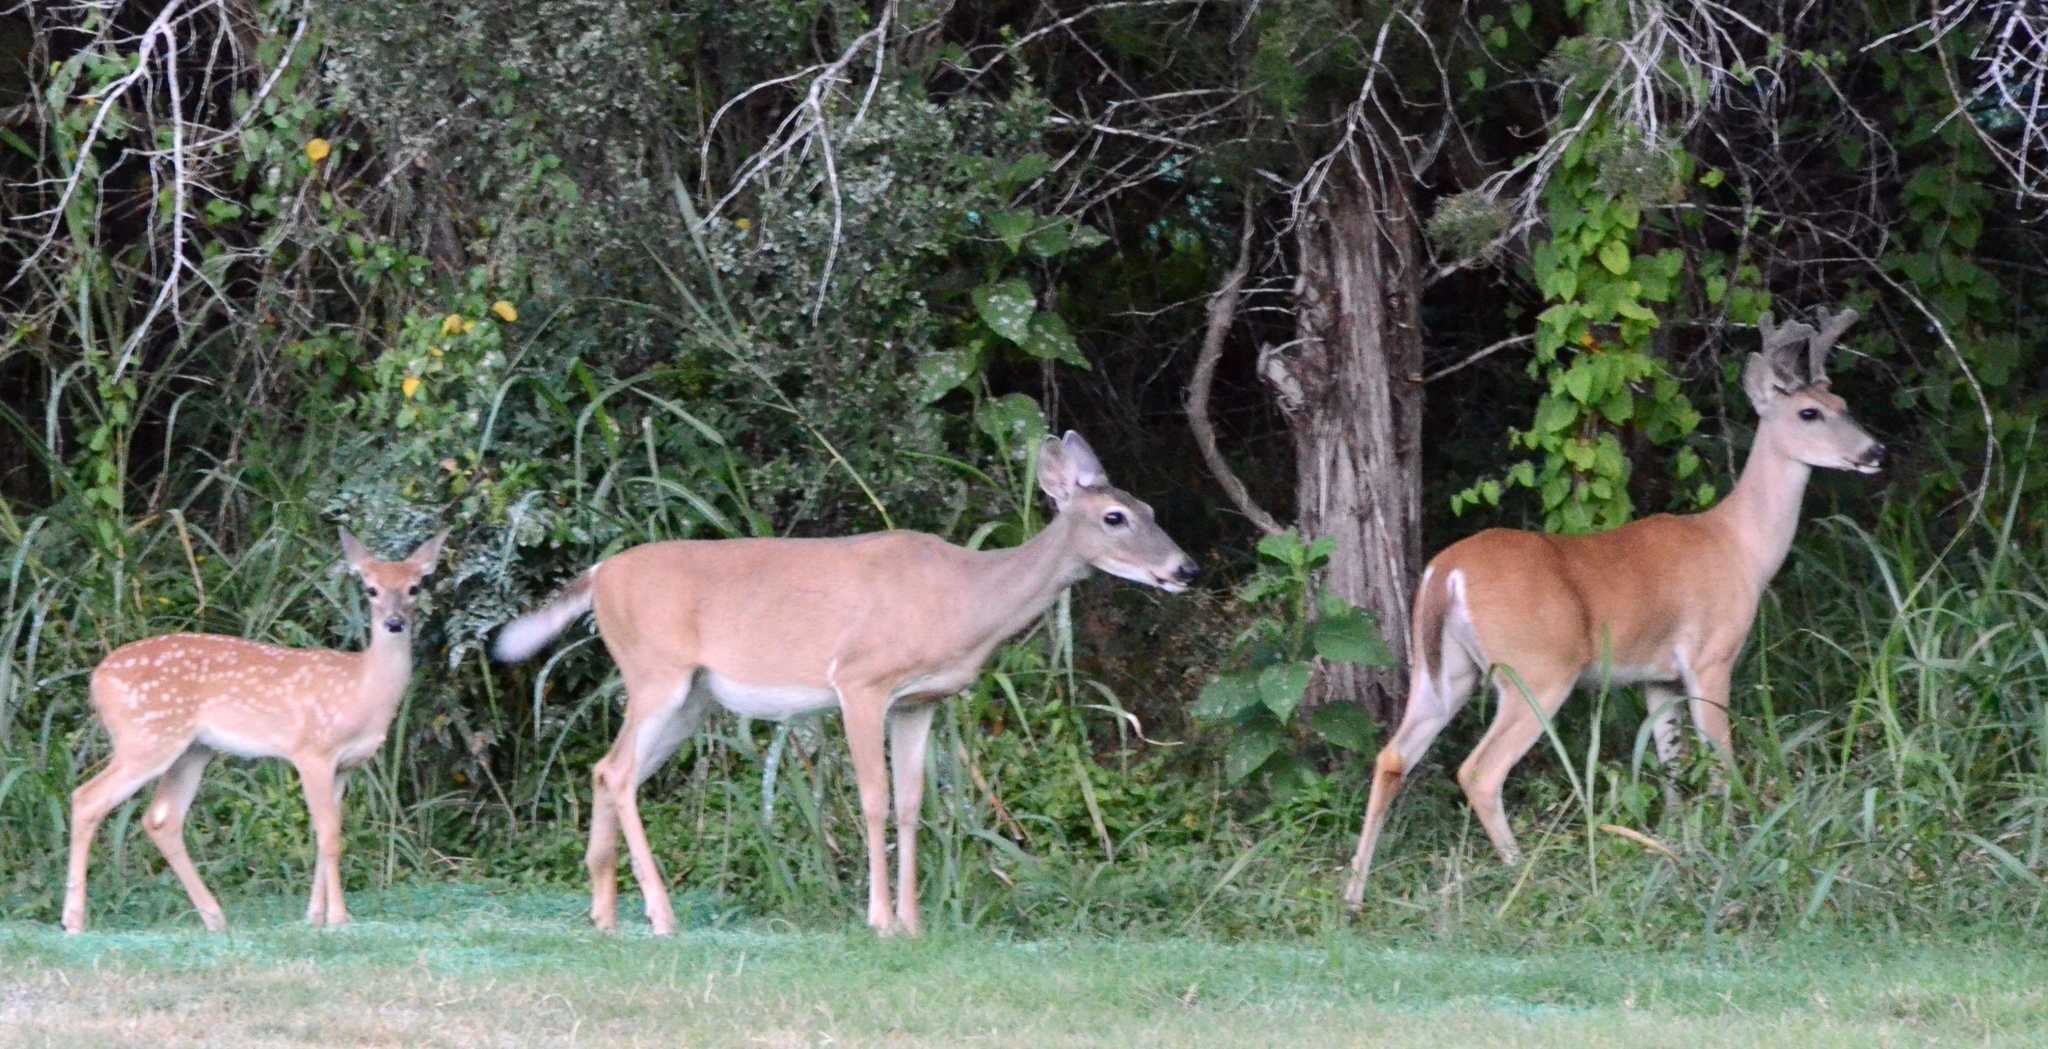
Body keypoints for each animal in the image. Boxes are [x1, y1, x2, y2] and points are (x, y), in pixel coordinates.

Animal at [62, 528, 447, 934]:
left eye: (415, 587)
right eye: (371, 589)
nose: (394, 622)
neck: (363, 691)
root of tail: (97, 679)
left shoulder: (346, 765)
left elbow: (324, 833)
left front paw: (314, 916)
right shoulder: (312, 751)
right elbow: (330, 836)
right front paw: (338, 918)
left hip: (192, 749)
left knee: (162, 818)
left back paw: (215, 918)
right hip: (145, 737)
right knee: (87, 798)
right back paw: (74, 920)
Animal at [493, 431, 1198, 936]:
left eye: (1151, 508)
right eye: (1114, 517)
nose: (1186, 568)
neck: (964, 599)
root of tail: (600, 573)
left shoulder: (920, 701)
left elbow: (914, 803)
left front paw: (914, 923)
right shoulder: (861, 680)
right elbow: (874, 798)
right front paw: (880, 919)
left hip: (693, 696)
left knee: (607, 769)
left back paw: (604, 915)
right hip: (655, 671)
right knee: (616, 772)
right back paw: (661, 918)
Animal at [1342, 309, 1884, 908]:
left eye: (1842, 402)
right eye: (1809, 412)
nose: (1874, 452)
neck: (1741, 546)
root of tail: (1446, 574)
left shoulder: (1658, 676)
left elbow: (1671, 766)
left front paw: (1680, 847)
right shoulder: (1711, 654)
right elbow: (1720, 758)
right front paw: (1732, 845)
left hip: (1442, 667)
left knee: (1393, 755)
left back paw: (1355, 894)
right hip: (1538, 669)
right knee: (1479, 770)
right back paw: (1521, 875)